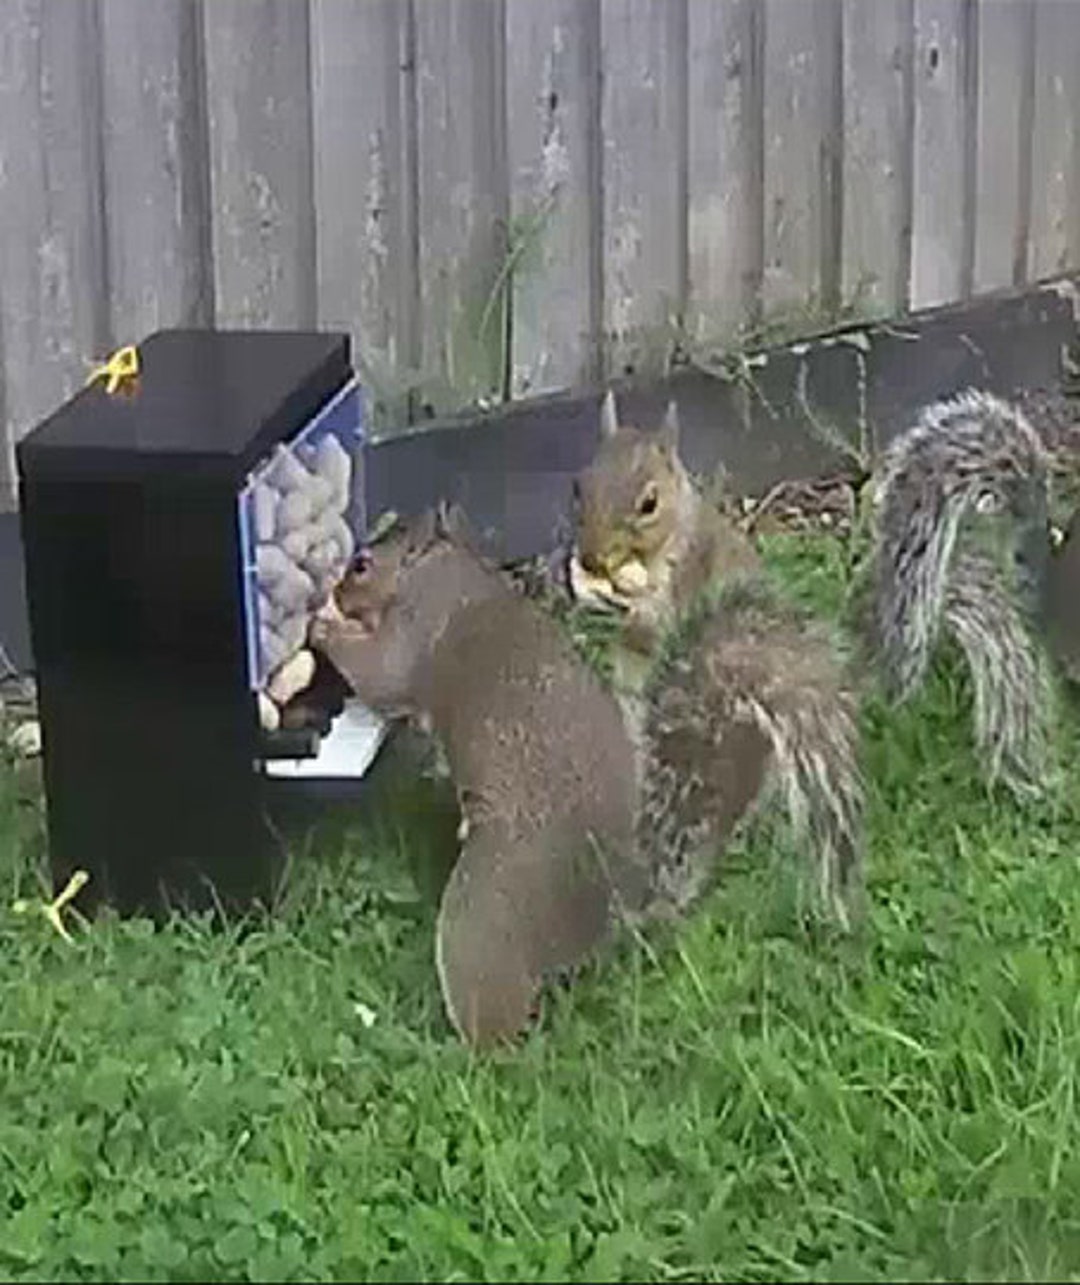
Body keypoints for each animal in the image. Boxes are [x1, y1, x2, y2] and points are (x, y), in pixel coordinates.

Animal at [309, 502, 864, 1049]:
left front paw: (322, 627)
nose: (332, 593)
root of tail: (615, 903)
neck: (440, 569)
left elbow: (381, 673)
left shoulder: (416, 630)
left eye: (361, 566)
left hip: (489, 915)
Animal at [568, 386, 1060, 800]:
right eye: (579, 486)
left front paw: (619, 608)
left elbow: (658, 628)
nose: (590, 560)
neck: (659, 550)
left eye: (649, 504)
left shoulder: (691, 575)